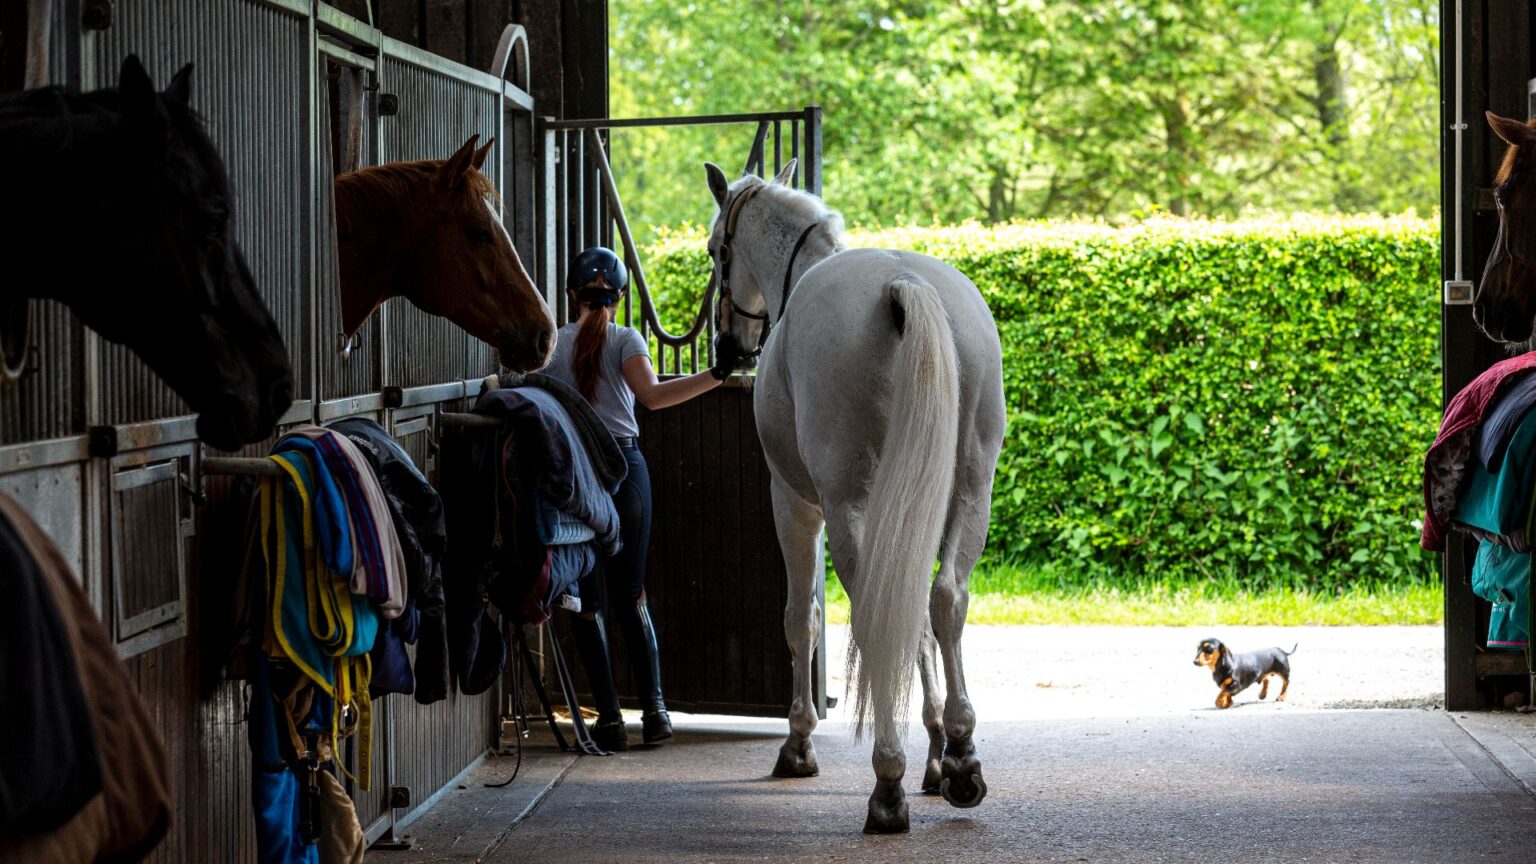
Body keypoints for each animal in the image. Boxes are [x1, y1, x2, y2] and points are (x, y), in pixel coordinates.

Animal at [704, 160, 1006, 833]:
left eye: (715, 251)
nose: (725, 352)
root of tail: (904, 283)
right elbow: (914, 622)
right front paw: (938, 753)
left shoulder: (795, 504)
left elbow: (802, 619)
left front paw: (798, 744)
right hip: (970, 492)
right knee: (945, 599)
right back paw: (963, 757)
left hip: (846, 507)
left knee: (871, 613)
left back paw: (887, 783)